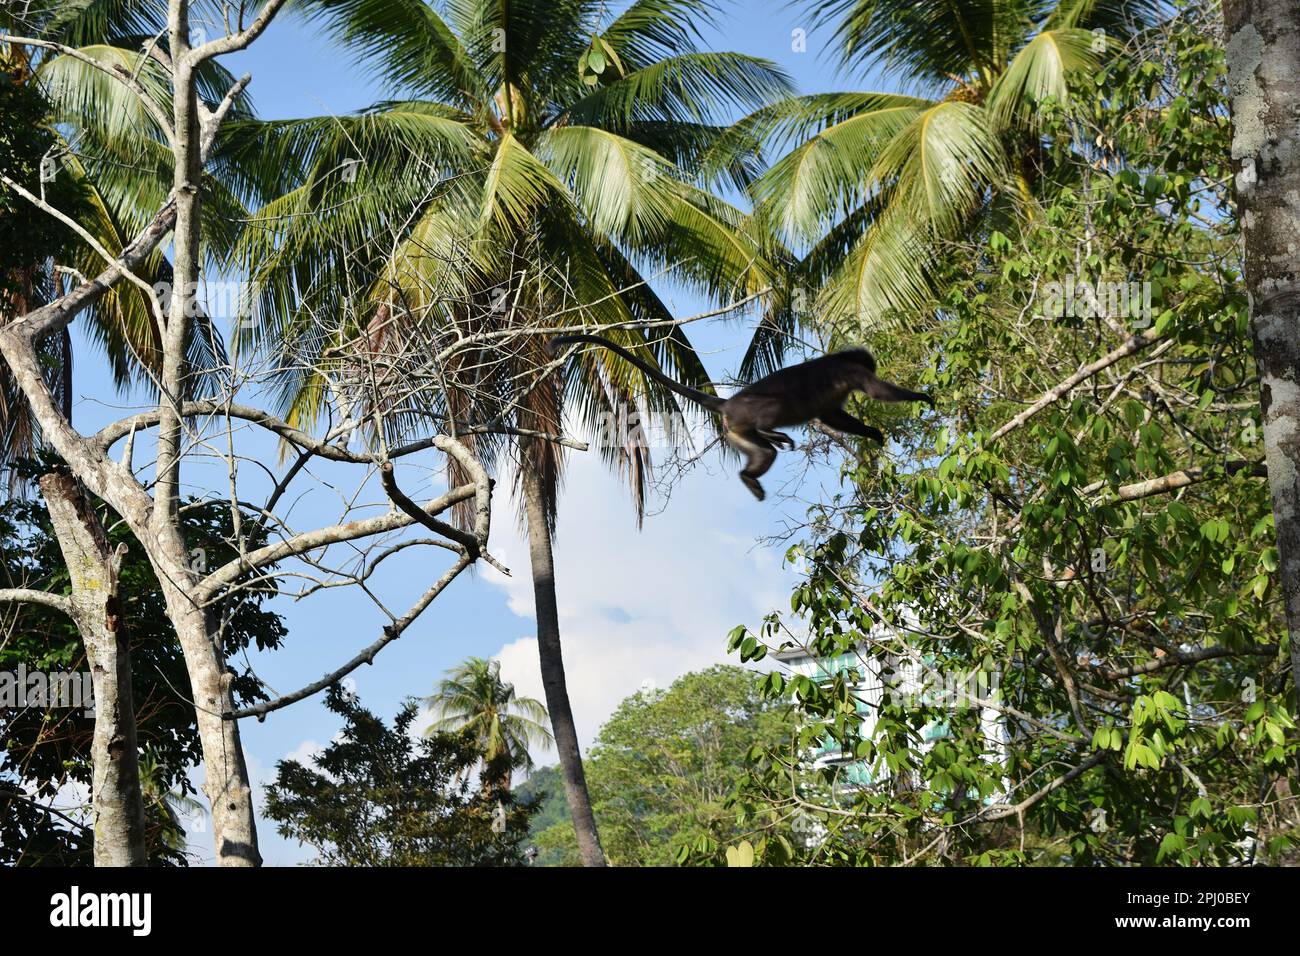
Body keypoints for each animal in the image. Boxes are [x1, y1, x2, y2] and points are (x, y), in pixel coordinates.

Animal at [551, 334, 934, 501]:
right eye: (870, 366)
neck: (841, 359)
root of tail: (729, 405)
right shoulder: (854, 372)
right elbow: (877, 392)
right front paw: (921, 397)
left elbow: (832, 417)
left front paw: (871, 433)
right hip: (748, 414)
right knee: (774, 412)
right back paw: (770, 432)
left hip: (734, 431)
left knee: (763, 452)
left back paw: (750, 473)